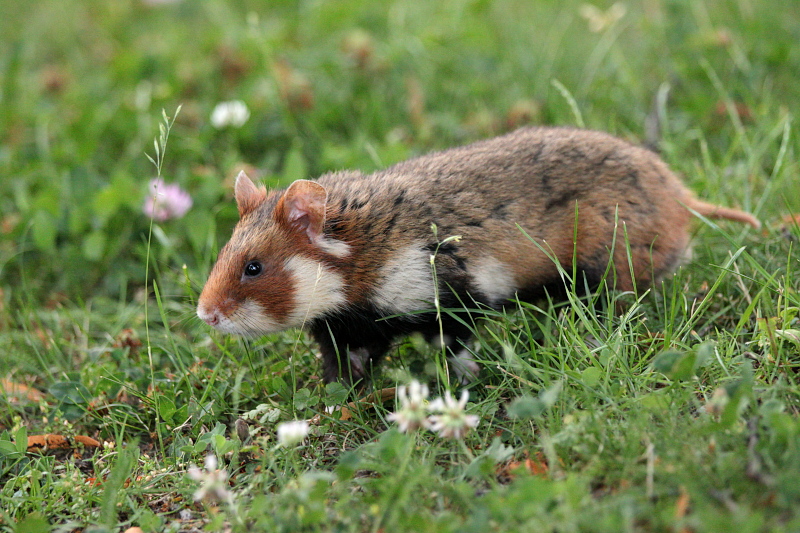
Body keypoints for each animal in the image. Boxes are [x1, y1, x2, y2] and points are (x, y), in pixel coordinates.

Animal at [197, 127, 760, 384]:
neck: (362, 258)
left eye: (253, 267)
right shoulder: (351, 326)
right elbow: (343, 369)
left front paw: (463, 384)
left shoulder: (449, 296)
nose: (204, 314)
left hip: (608, 266)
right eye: (224, 253)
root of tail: (681, 194)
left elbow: (456, 348)